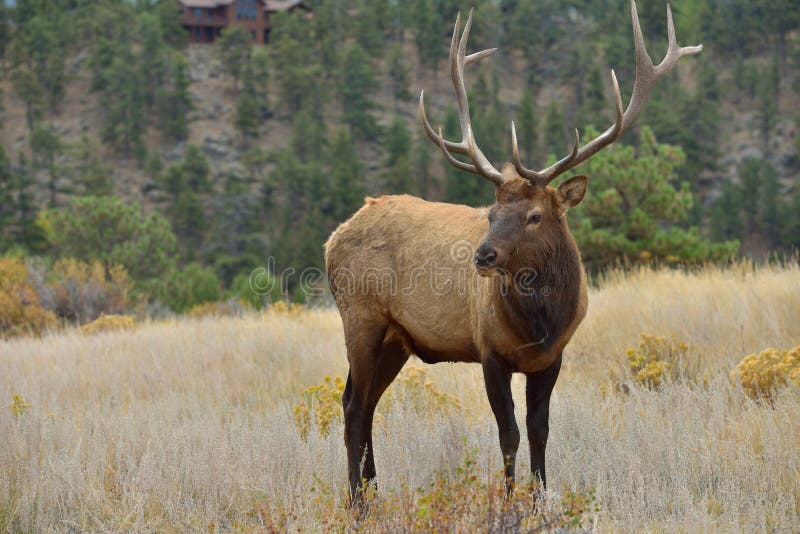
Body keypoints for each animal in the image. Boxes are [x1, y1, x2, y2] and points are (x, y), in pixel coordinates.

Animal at [324, 1, 702, 504]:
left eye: (535, 216)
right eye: (490, 212)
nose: (483, 257)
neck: (539, 323)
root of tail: (333, 238)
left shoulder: (553, 357)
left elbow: (539, 430)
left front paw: (541, 499)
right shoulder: (490, 352)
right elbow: (509, 434)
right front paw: (508, 502)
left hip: (396, 339)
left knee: (366, 404)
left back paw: (375, 494)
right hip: (361, 317)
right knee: (352, 405)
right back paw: (357, 503)